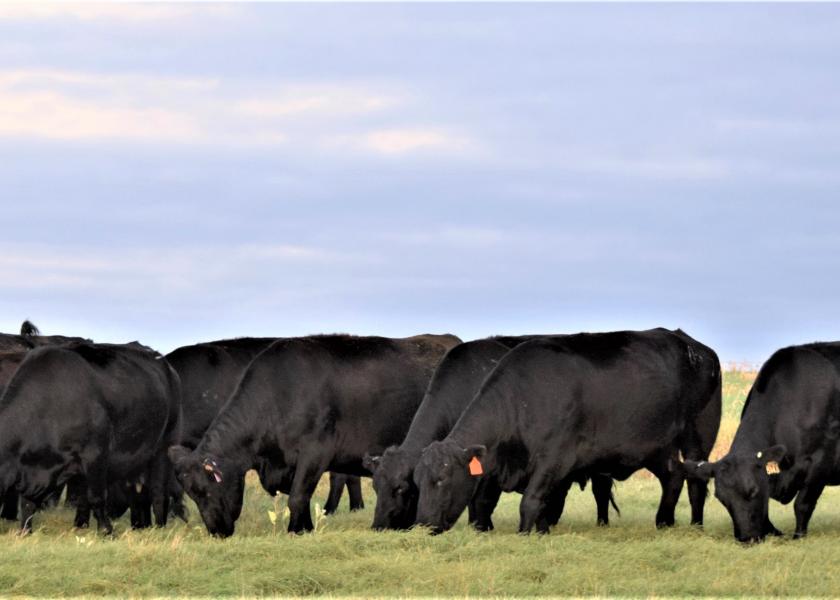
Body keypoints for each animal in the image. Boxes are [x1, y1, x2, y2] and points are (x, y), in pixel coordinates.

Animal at [0, 341, 181, 534]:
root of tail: (163, 361)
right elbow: (27, 503)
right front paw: (25, 531)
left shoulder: (96, 453)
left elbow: (96, 496)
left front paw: (106, 531)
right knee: (135, 491)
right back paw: (134, 526)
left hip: (166, 443)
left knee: (158, 490)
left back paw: (160, 527)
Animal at [365, 336, 616, 531]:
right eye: (376, 487)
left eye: (401, 487)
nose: (378, 526)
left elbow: (480, 501)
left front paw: (482, 527)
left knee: (599, 491)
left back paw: (601, 523)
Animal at [413, 328, 721, 534]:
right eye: (417, 481)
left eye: (441, 480)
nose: (423, 524)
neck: (524, 398)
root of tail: (690, 344)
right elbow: (496, 503)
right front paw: (540, 531)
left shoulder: (555, 459)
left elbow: (531, 501)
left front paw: (524, 534)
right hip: (656, 447)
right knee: (673, 475)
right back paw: (663, 522)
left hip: (696, 436)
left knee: (695, 481)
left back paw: (695, 525)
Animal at [680, 342, 840, 542]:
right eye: (722, 499)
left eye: (753, 491)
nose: (745, 539)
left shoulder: (821, 461)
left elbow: (802, 504)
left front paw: (798, 537)